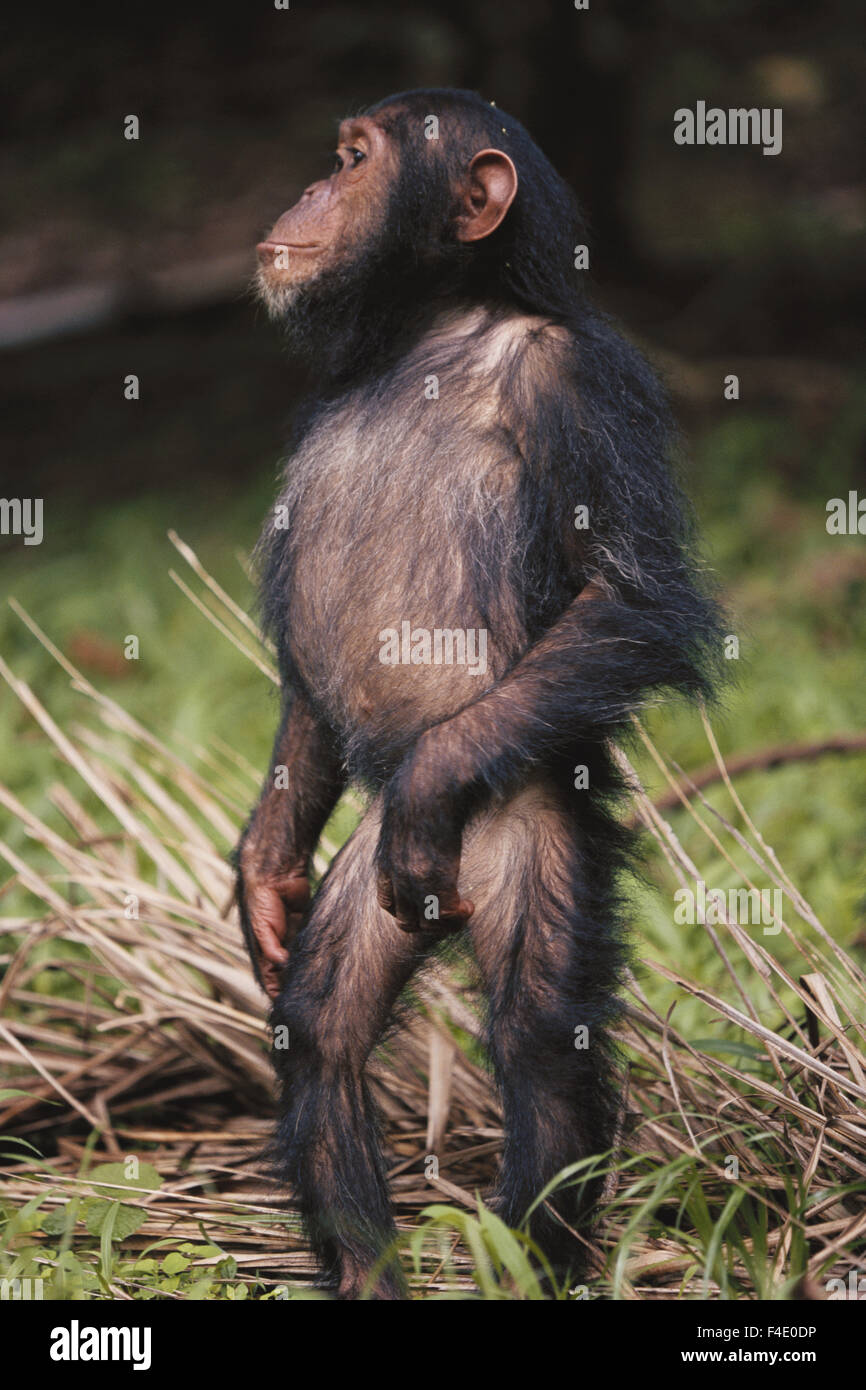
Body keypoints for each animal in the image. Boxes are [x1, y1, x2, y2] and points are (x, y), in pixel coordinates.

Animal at [235, 88, 723, 1299]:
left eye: (354, 160)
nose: (308, 187)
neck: (437, 326)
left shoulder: (579, 387)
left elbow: (628, 592)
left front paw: (425, 787)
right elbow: (306, 692)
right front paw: (263, 871)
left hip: (521, 832)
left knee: (542, 1041)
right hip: (377, 883)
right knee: (322, 1028)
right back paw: (365, 1268)